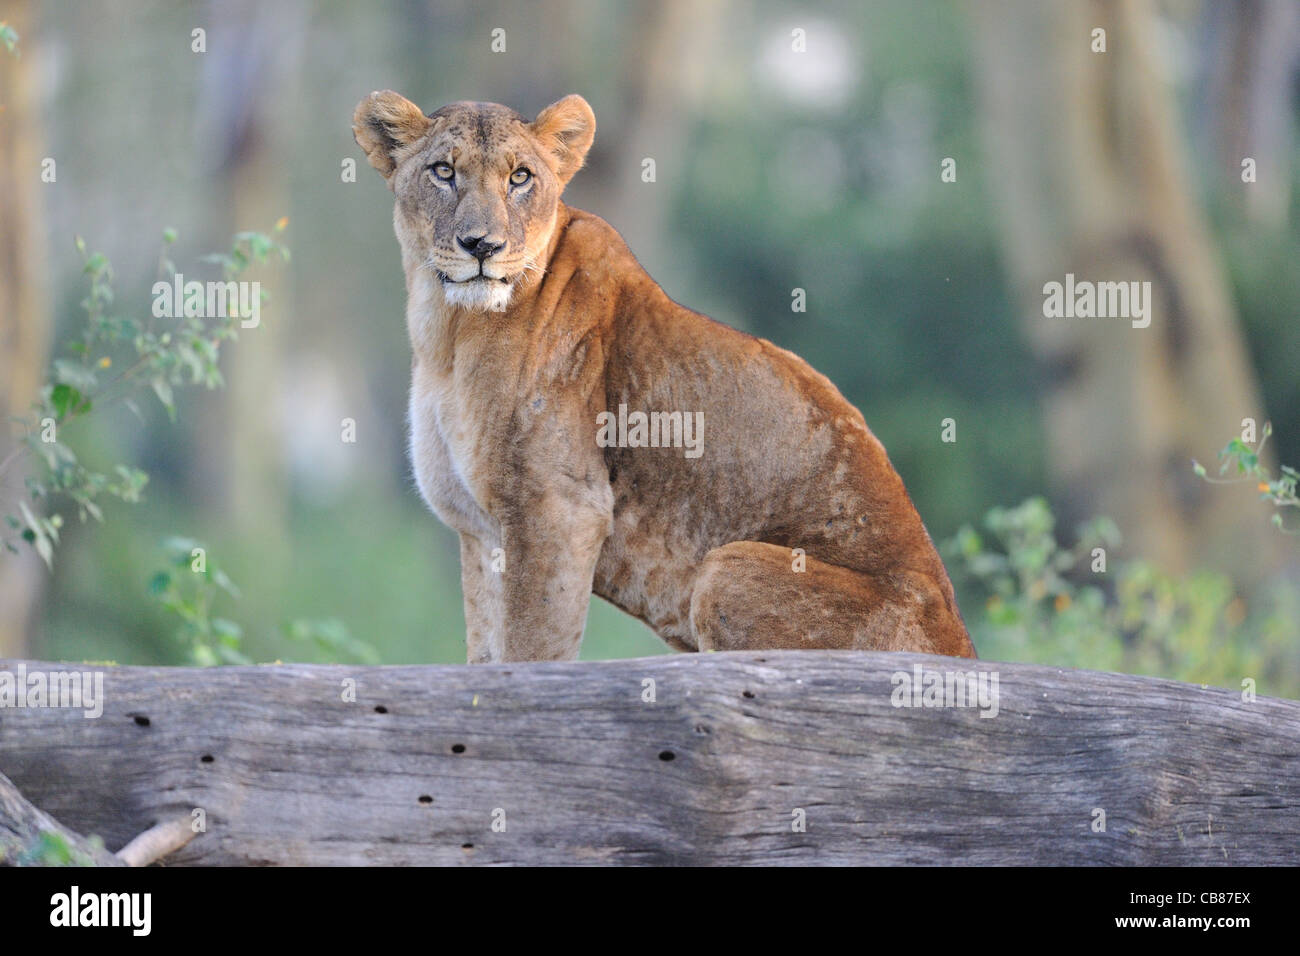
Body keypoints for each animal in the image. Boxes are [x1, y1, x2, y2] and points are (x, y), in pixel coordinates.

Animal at [353, 91, 976, 662]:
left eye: (520, 177)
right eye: (443, 171)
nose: (481, 245)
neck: (448, 332)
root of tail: (964, 648)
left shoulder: (559, 509)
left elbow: (530, 652)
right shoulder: (483, 533)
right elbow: (485, 655)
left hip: (726, 568)